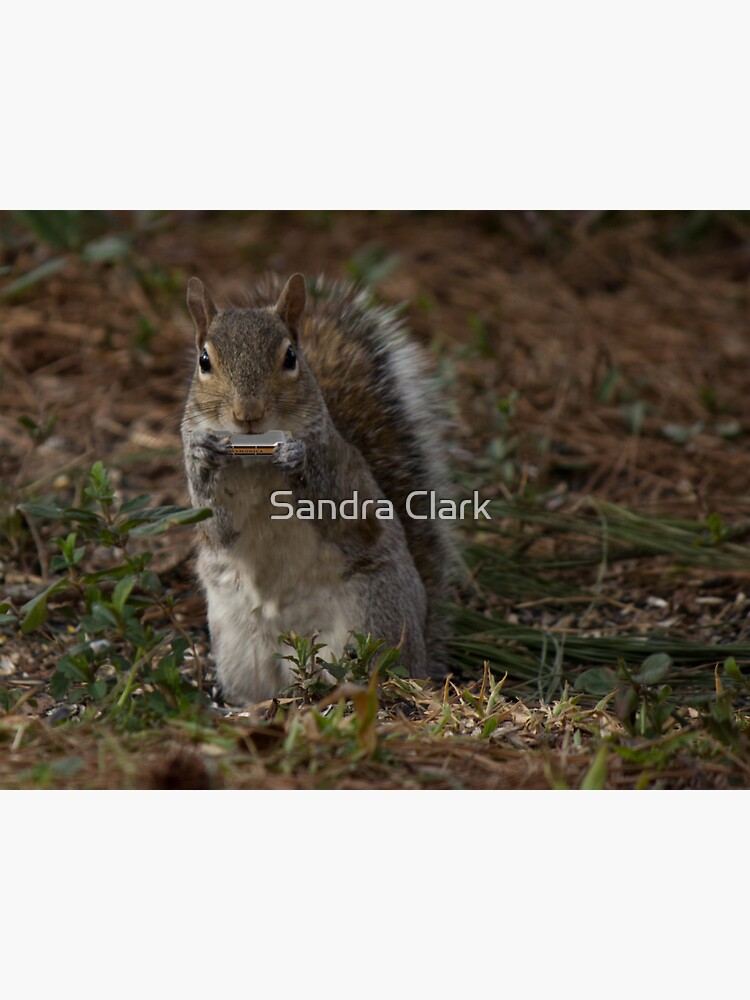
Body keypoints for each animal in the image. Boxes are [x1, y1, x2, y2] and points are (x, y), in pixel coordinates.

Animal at [181, 272, 454, 704]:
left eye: (290, 357)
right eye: (204, 361)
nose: (247, 414)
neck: (254, 461)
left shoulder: (339, 466)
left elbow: (334, 505)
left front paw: (297, 457)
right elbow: (218, 529)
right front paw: (203, 455)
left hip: (370, 623)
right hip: (238, 647)